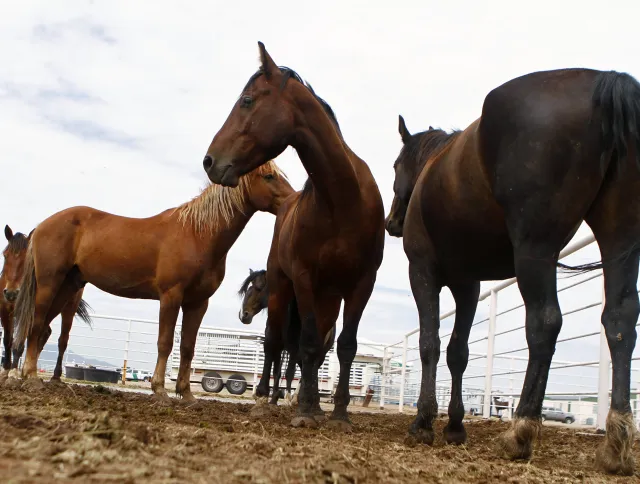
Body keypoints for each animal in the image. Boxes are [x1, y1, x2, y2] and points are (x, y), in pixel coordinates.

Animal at [1, 226, 92, 382]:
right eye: (5, 255)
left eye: (28, 259)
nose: (11, 293)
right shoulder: (5, 310)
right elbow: (8, 340)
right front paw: (6, 370)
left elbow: (20, 340)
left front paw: (14, 371)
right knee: (43, 332)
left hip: (68, 308)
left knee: (62, 339)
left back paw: (54, 375)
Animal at [13, 161, 294, 402]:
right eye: (269, 176)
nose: (293, 200)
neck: (198, 234)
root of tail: (43, 225)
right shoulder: (170, 296)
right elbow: (165, 342)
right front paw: (159, 389)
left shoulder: (198, 303)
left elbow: (188, 347)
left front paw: (186, 393)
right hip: (49, 284)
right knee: (36, 325)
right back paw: (30, 375)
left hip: (67, 287)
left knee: (43, 329)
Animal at [203, 42, 385, 431]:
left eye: (247, 100)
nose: (210, 161)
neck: (342, 199)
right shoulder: (303, 277)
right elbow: (307, 345)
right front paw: (305, 409)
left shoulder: (362, 283)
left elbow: (344, 346)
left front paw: (339, 412)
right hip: (285, 289)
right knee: (277, 344)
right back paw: (270, 399)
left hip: (328, 298)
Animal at [385, 68, 640, 474]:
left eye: (396, 166)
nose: (391, 222)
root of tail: (605, 80)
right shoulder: (468, 285)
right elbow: (458, 352)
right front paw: (455, 426)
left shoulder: (422, 273)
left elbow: (430, 344)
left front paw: (423, 422)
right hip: (620, 238)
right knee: (619, 321)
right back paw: (616, 442)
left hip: (535, 250)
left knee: (545, 323)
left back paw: (521, 430)